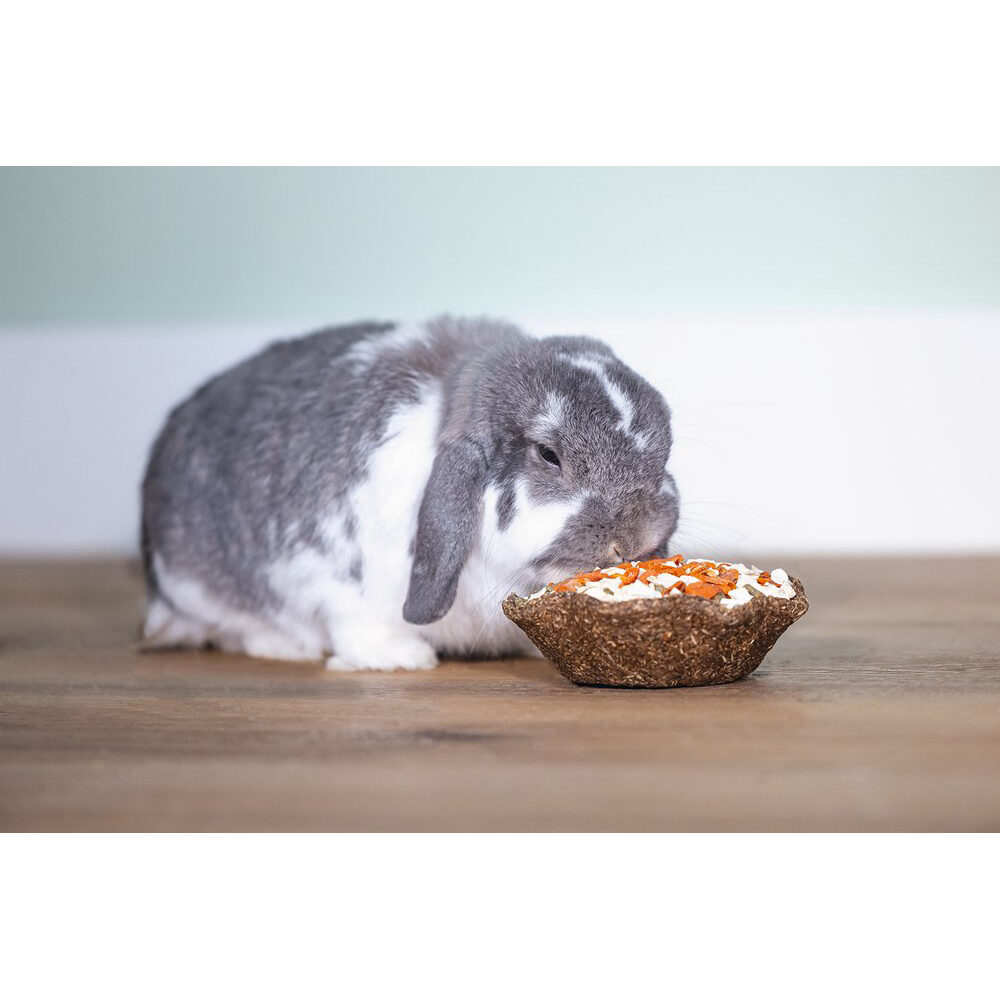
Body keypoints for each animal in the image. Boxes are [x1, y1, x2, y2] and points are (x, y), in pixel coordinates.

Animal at [143, 316, 680, 668]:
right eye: (548, 454)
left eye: (665, 450)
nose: (636, 537)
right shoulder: (338, 581)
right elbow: (355, 627)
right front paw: (401, 658)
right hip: (199, 586)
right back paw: (288, 647)